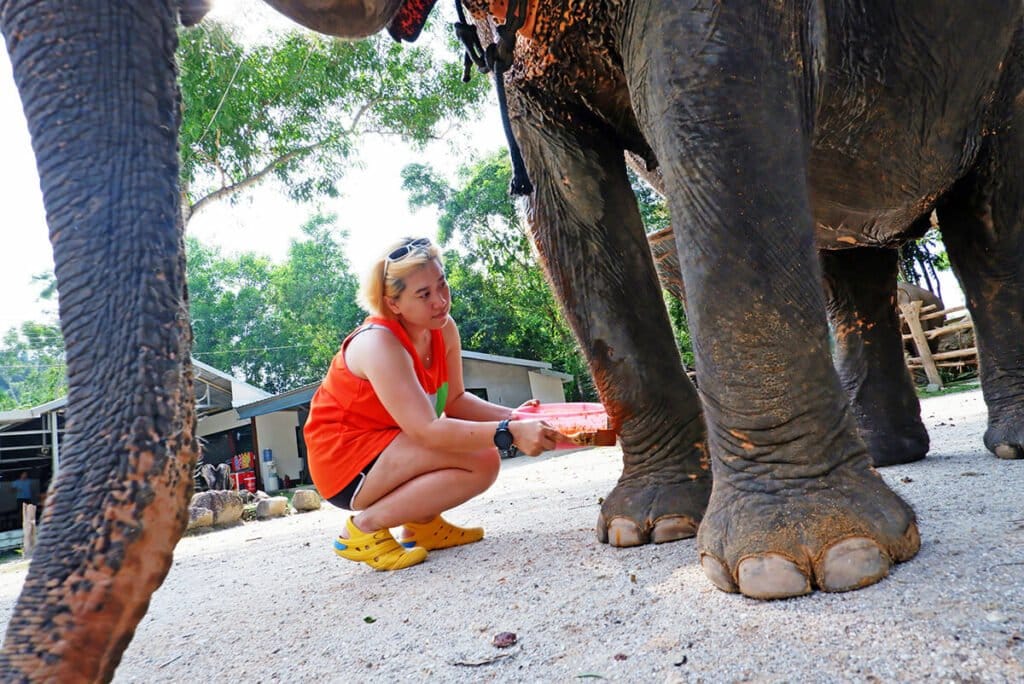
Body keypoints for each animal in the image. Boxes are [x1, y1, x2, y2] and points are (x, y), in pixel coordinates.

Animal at [3, 0, 1024, 680]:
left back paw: (1006, 443)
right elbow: (563, 192)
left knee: (987, 208)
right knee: (854, 248)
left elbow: (715, 104)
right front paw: (647, 530)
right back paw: (891, 451)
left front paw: (807, 568)